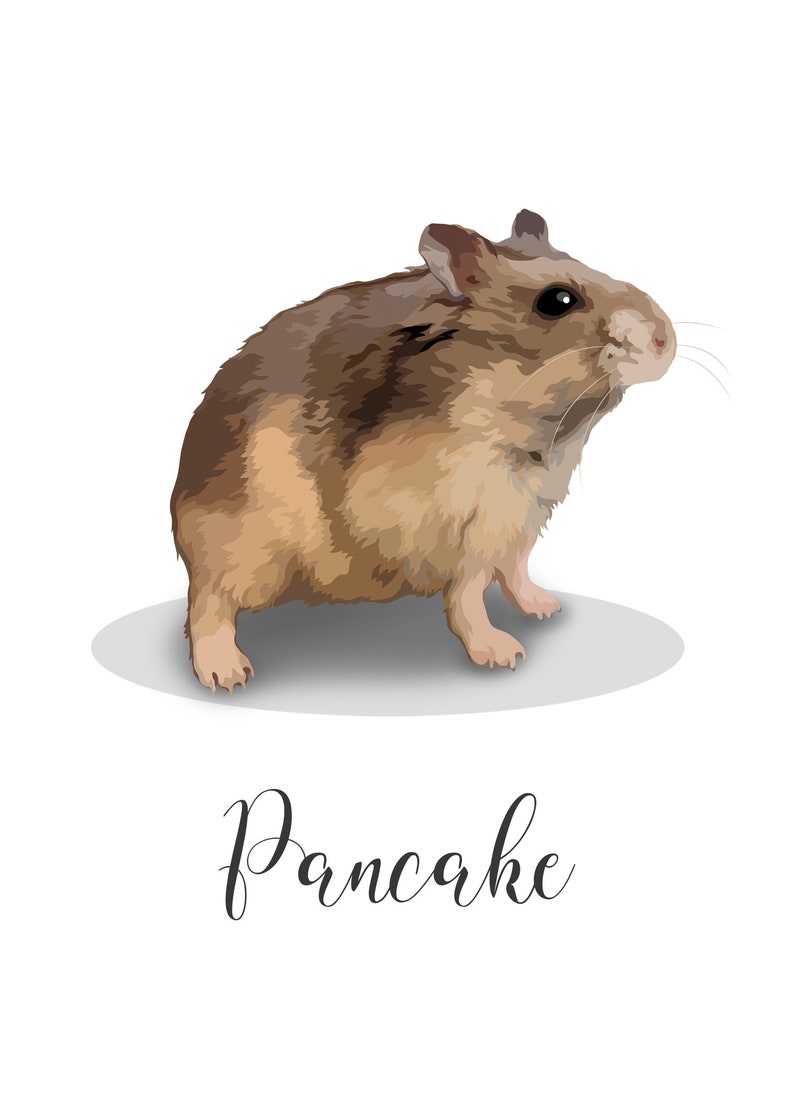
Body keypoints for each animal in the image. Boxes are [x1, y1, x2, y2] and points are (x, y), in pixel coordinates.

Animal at [170, 210, 676, 692]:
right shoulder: (456, 518)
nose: (665, 340)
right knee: (207, 601)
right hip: (241, 543)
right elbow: (469, 593)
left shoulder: (524, 511)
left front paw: (547, 609)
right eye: (557, 301)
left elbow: (515, 568)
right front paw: (504, 656)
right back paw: (227, 678)